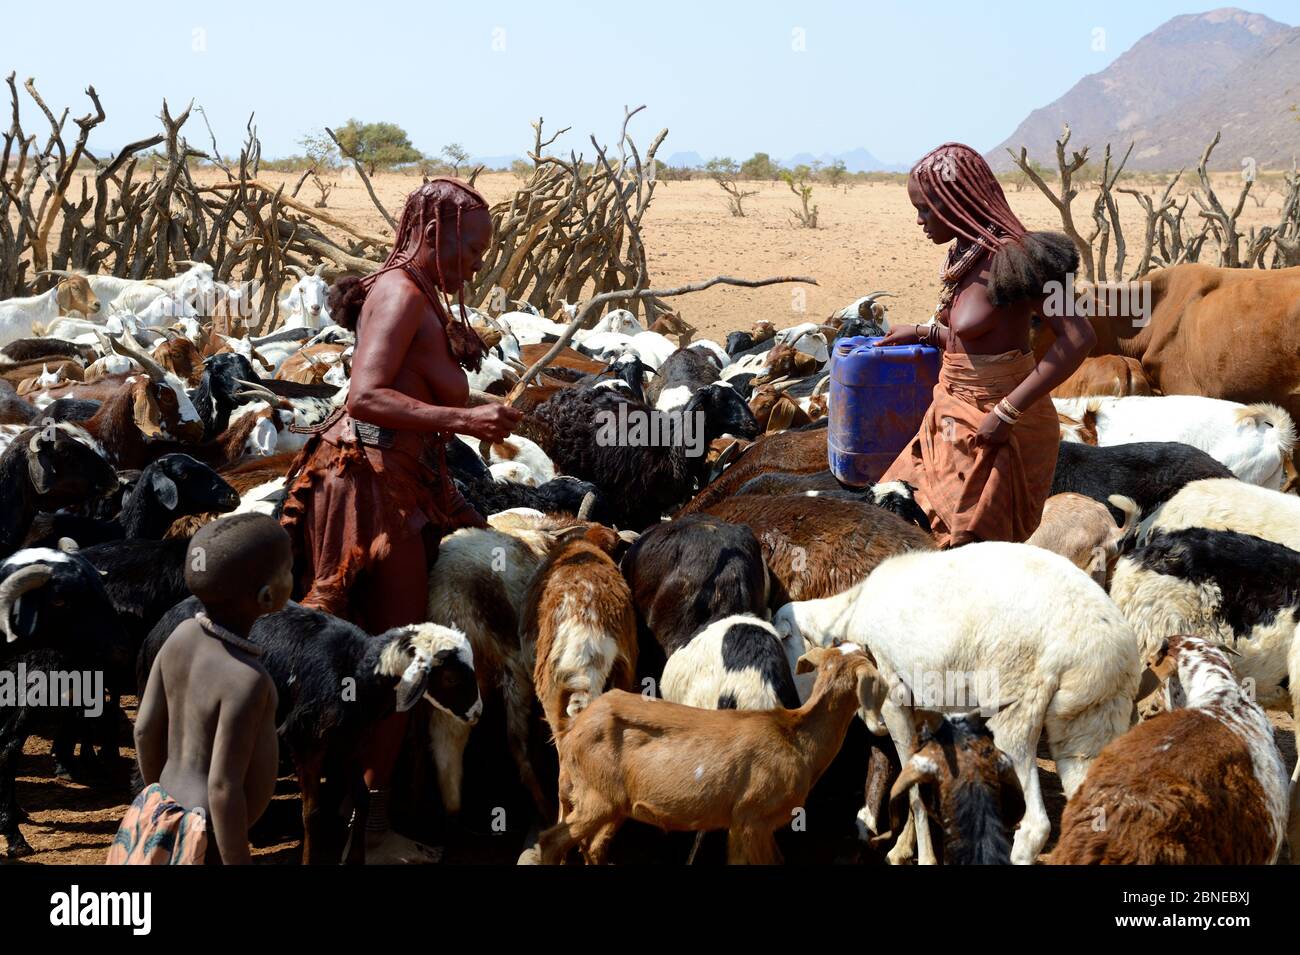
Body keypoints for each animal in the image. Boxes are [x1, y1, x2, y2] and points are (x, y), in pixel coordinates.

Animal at [139, 596, 479, 864]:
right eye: (450, 678)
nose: (477, 713)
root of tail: (164, 619)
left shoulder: (350, 739)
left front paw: (356, 858)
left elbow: (362, 799)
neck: (356, 670)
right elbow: (312, 813)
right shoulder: (304, 740)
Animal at [537, 644, 887, 864]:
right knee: (551, 840)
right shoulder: (752, 816)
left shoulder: (739, 822)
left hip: (606, 800)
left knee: (590, 846)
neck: (796, 739)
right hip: (597, 794)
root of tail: (571, 726)